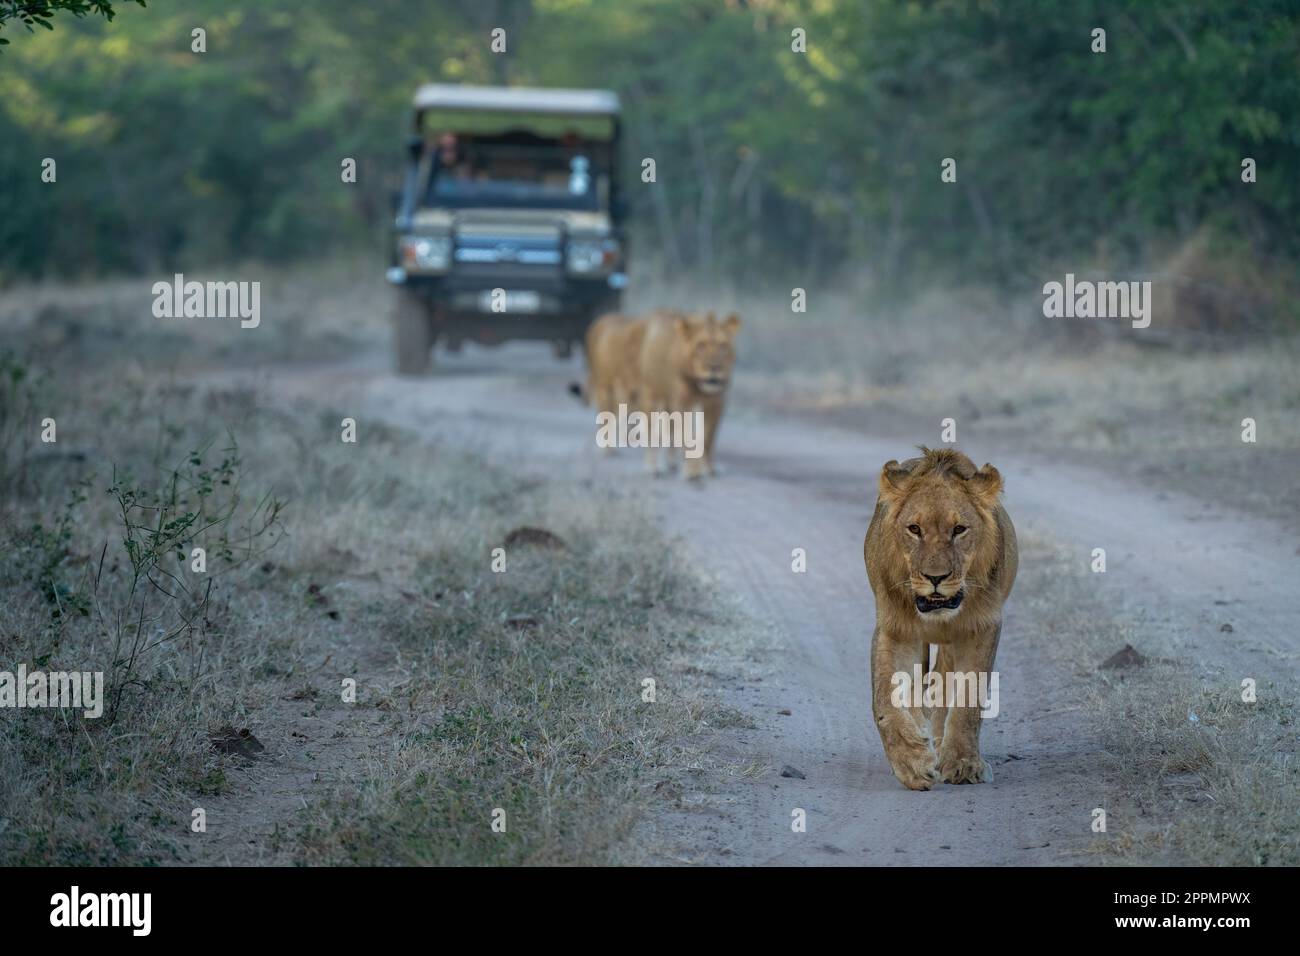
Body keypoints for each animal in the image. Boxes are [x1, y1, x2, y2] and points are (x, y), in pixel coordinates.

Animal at [637, 310, 741, 480]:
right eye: (701, 345)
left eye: (723, 345)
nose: (715, 367)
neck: (700, 387)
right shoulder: (683, 403)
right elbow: (687, 436)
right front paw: (692, 473)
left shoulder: (717, 403)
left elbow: (708, 437)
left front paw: (709, 468)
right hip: (652, 394)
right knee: (653, 432)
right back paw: (653, 468)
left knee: (671, 429)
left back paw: (672, 463)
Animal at [863, 447, 1018, 790]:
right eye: (914, 529)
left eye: (959, 529)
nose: (936, 578)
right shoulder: (897, 629)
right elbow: (884, 700)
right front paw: (912, 761)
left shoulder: (982, 626)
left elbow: (969, 700)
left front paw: (963, 763)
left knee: (942, 683)